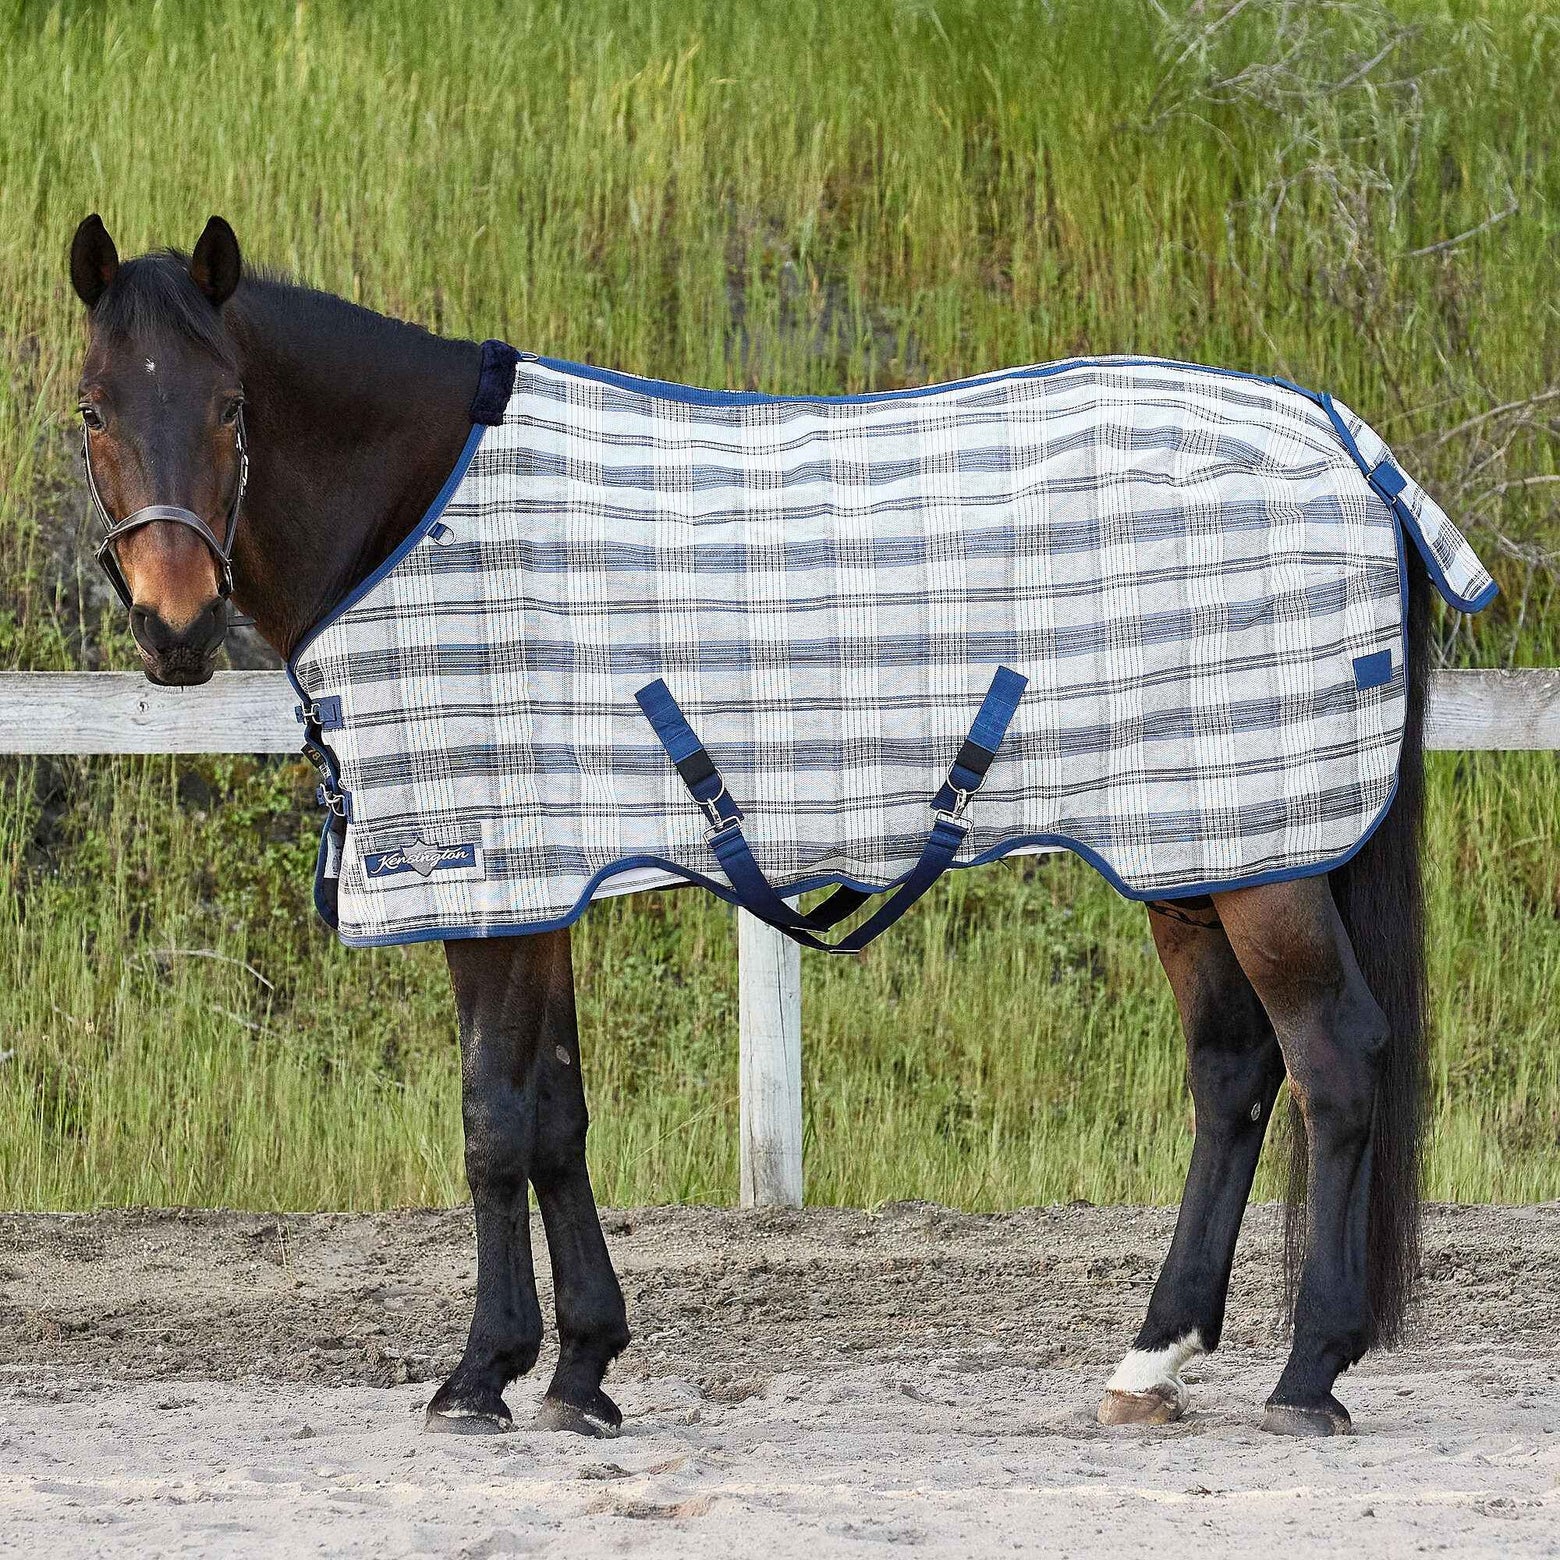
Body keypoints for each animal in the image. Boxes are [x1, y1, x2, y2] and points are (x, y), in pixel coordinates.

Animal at [66, 212, 1435, 1439]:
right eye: (93, 410)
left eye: (232, 408)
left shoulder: (495, 889)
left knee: (1333, 1063)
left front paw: (479, 1377)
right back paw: (1153, 1362)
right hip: (1191, 854)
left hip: (1263, 864)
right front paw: (583, 1371)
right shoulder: (551, 883)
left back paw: (1309, 1373)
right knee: (1233, 1074)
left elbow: (492, 1122)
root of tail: (1346, 443)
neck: (415, 510)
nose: (175, 628)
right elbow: (556, 1118)